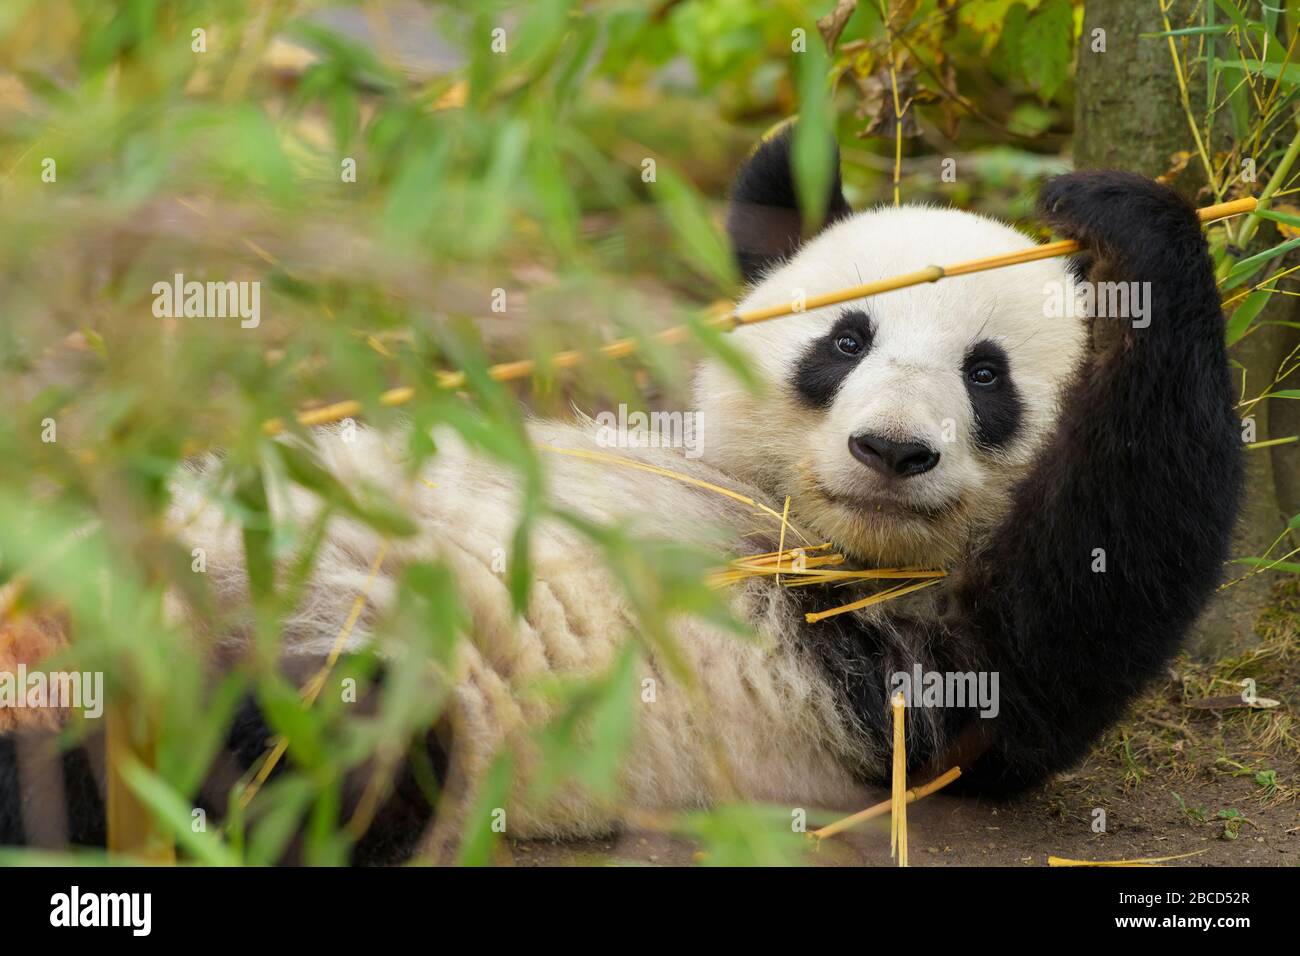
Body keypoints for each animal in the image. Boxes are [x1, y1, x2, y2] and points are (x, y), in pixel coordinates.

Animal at [0, 131, 1242, 863]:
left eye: (988, 375)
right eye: (846, 338)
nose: (891, 451)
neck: (793, 529)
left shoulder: (905, 670)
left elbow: (1065, 623)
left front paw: (1132, 222)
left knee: (302, 743)